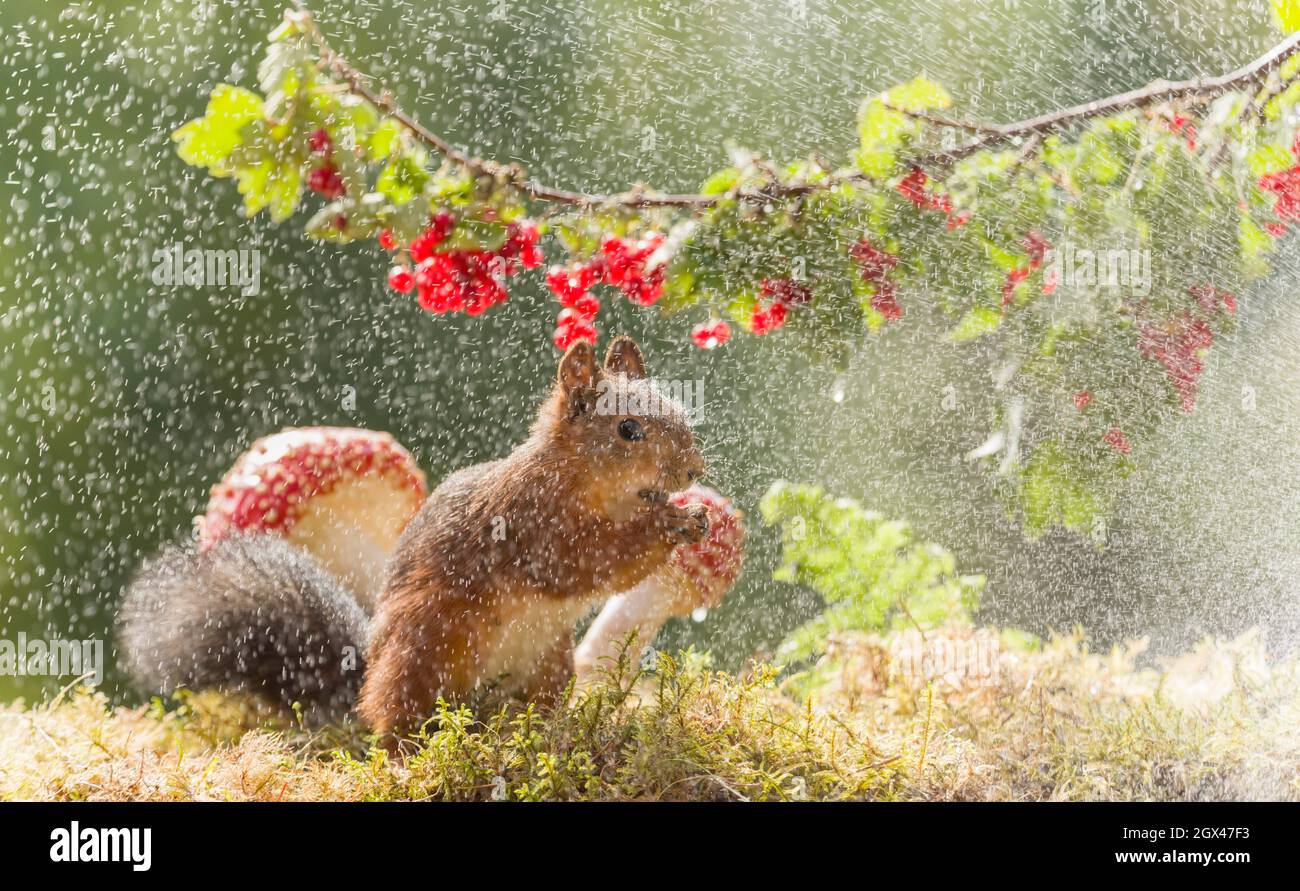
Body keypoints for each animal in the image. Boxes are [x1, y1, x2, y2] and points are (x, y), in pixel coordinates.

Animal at [120, 337, 709, 739]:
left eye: (680, 412)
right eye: (628, 429)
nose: (693, 472)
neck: (593, 487)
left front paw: (693, 517)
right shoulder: (531, 522)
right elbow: (585, 560)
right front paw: (672, 523)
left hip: (548, 660)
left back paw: (540, 728)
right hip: (426, 645)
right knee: (395, 715)